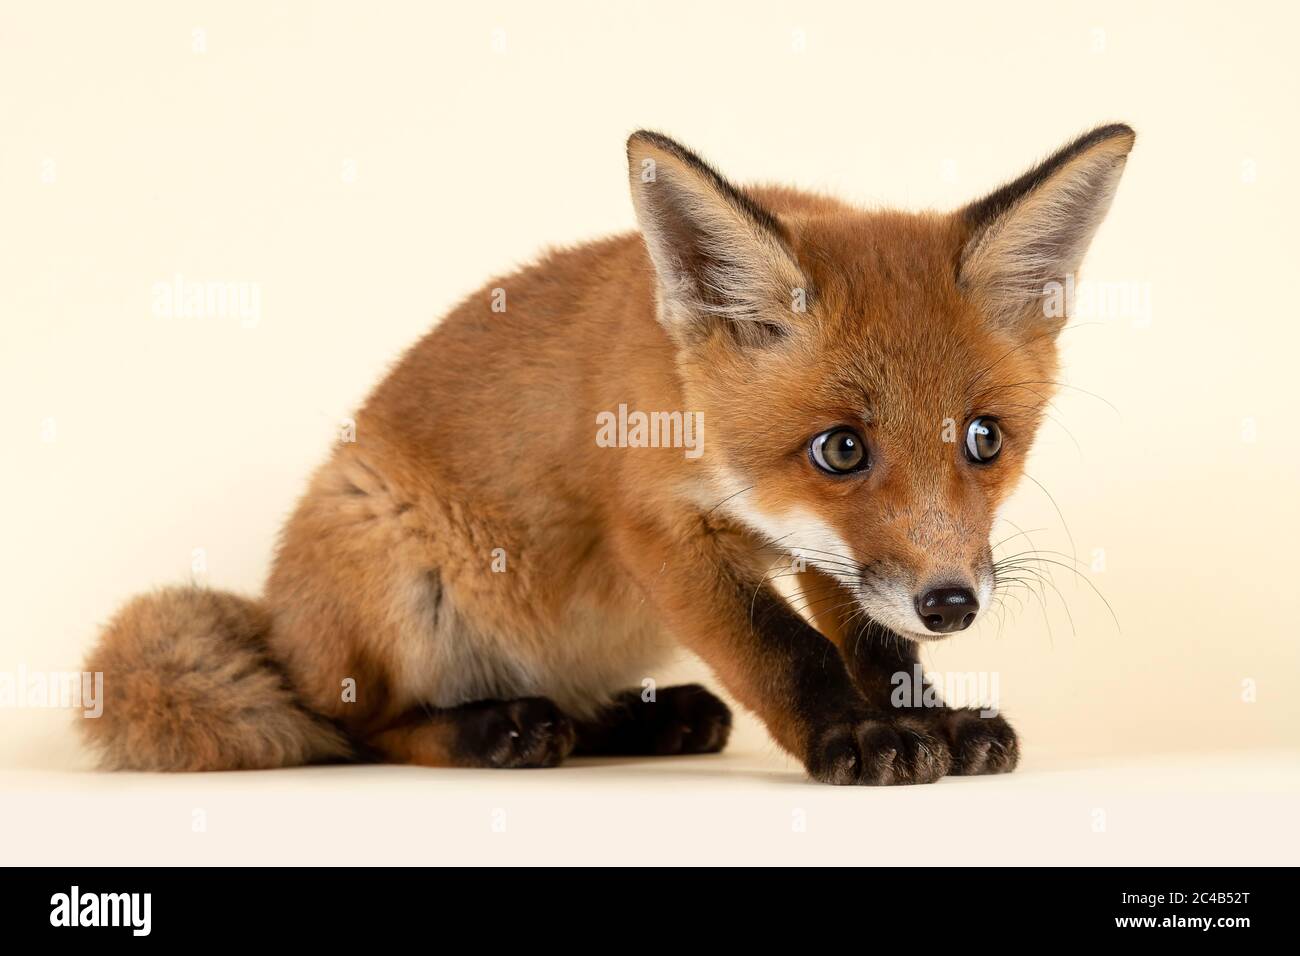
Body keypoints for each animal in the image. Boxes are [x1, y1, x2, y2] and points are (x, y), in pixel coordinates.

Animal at [82, 124, 1135, 784]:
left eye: (984, 440)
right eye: (841, 449)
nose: (952, 605)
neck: (691, 410)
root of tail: (276, 630)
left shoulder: (830, 552)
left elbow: (873, 642)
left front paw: (927, 718)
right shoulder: (655, 529)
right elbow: (782, 647)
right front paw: (861, 734)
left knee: (564, 700)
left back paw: (641, 716)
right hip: (389, 559)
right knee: (356, 729)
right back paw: (494, 729)